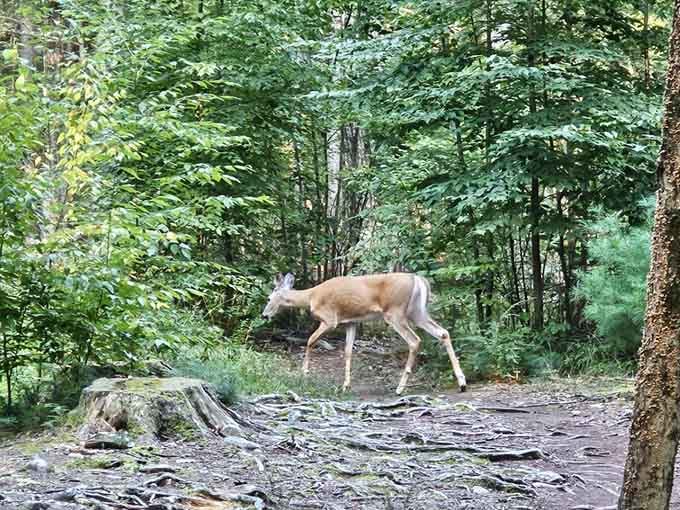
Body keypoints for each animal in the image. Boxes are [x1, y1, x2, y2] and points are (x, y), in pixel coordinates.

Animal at [261, 272, 467, 395]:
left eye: (269, 298)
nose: (264, 315)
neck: (311, 297)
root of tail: (418, 279)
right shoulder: (351, 321)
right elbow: (347, 351)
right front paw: (346, 385)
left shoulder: (330, 319)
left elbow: (310, 341)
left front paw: (304, 372)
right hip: (417, 312)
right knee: (443, 332)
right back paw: (462, 382)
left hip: (395, 312)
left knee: (414, 341)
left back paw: (400, 388)